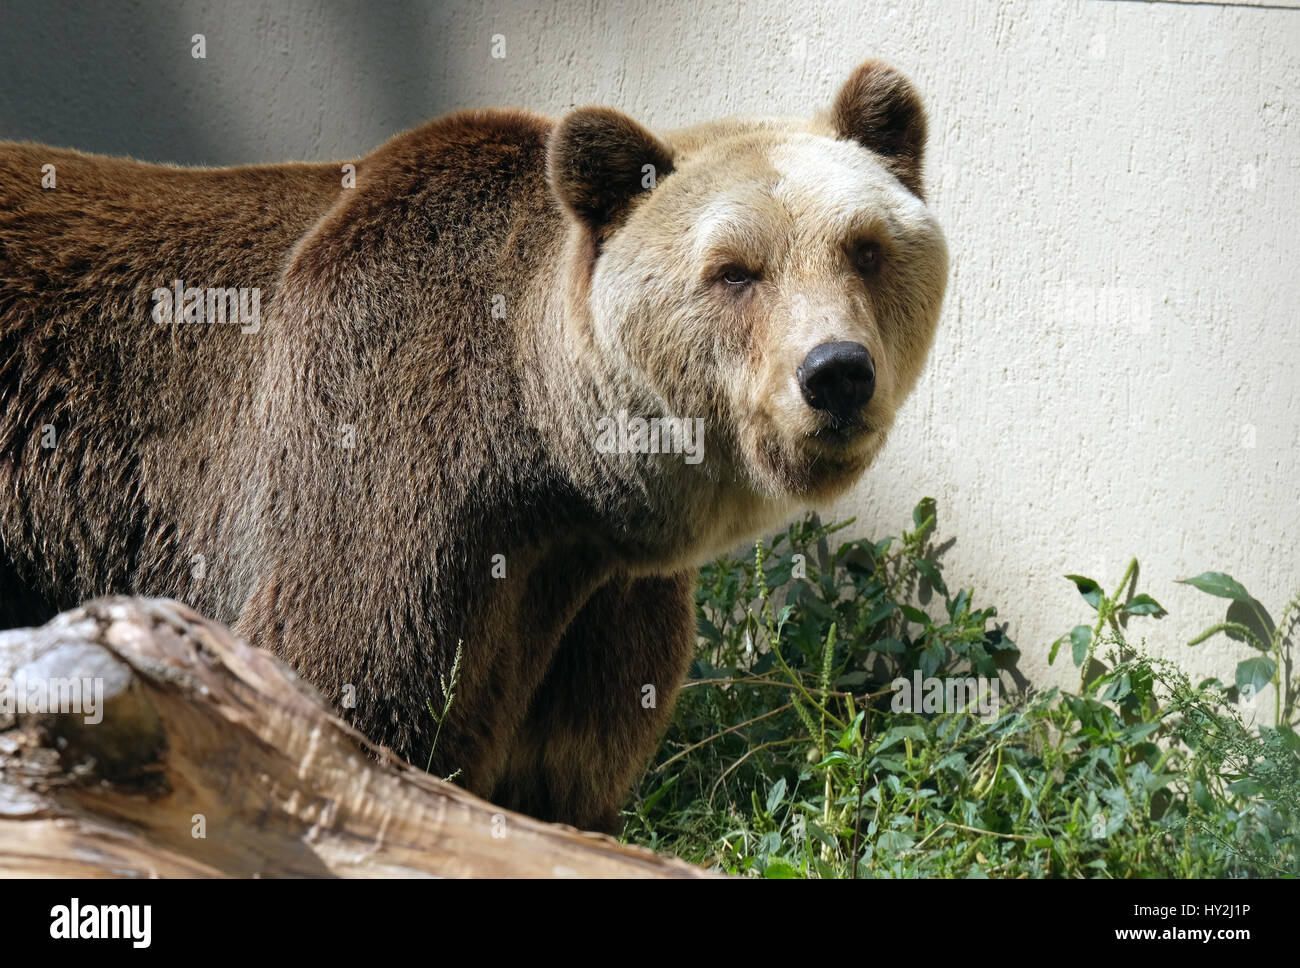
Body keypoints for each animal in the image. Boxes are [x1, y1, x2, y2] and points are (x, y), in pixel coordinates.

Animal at [0, 61, 947, 833]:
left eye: (864, 248)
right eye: (735, 271)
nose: (835, 372)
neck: (552, 470)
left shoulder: (597, 618)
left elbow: (569, 781)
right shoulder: (388, 466)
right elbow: (345, 689)